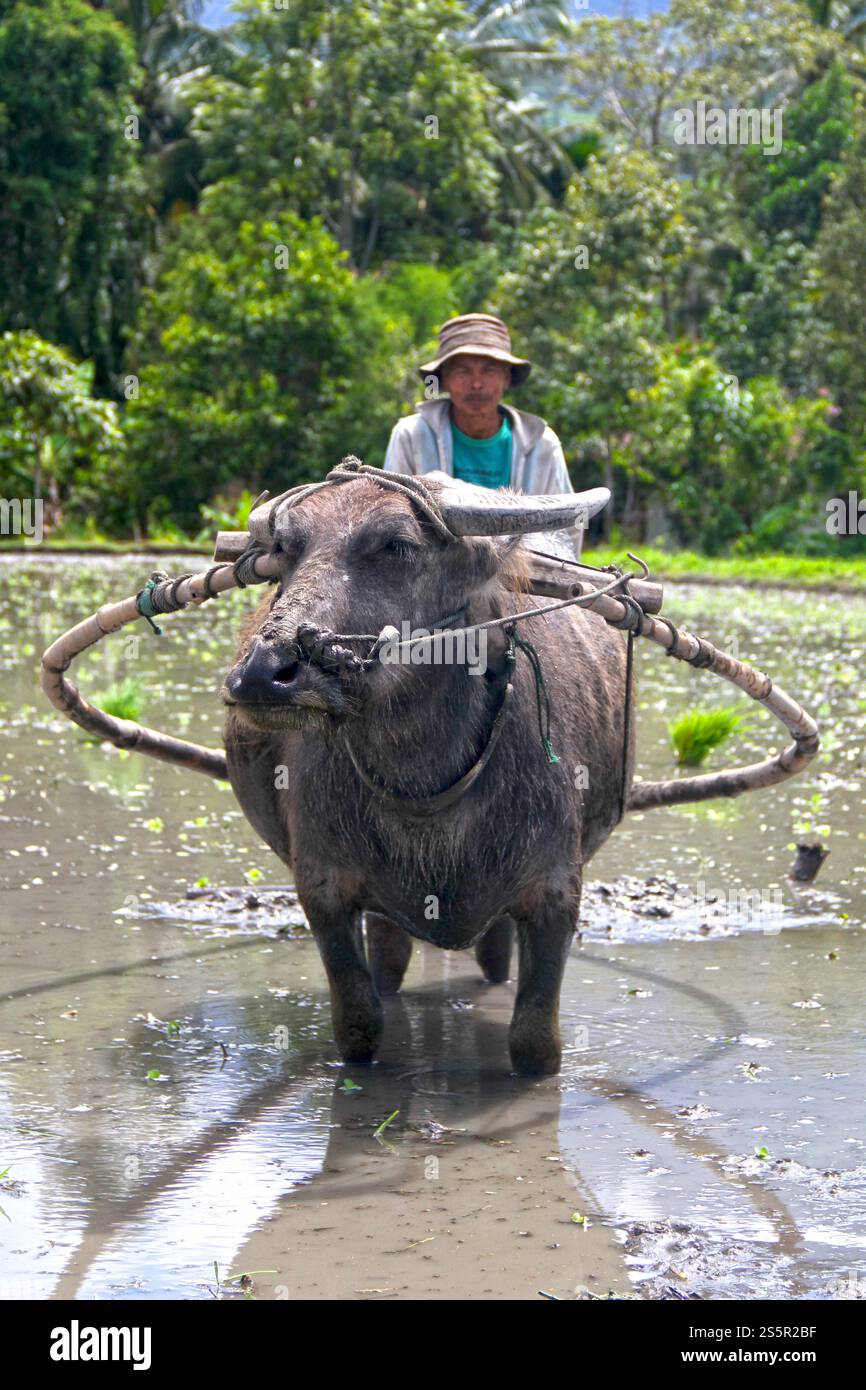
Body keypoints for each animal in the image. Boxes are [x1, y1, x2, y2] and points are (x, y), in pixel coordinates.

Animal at [222, 465, 633, 1075]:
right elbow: (359, 1025)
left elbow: (535, 1043)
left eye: (397, 546)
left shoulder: (556, 891)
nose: (262, 674)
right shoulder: (322, 888)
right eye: (286, 550)